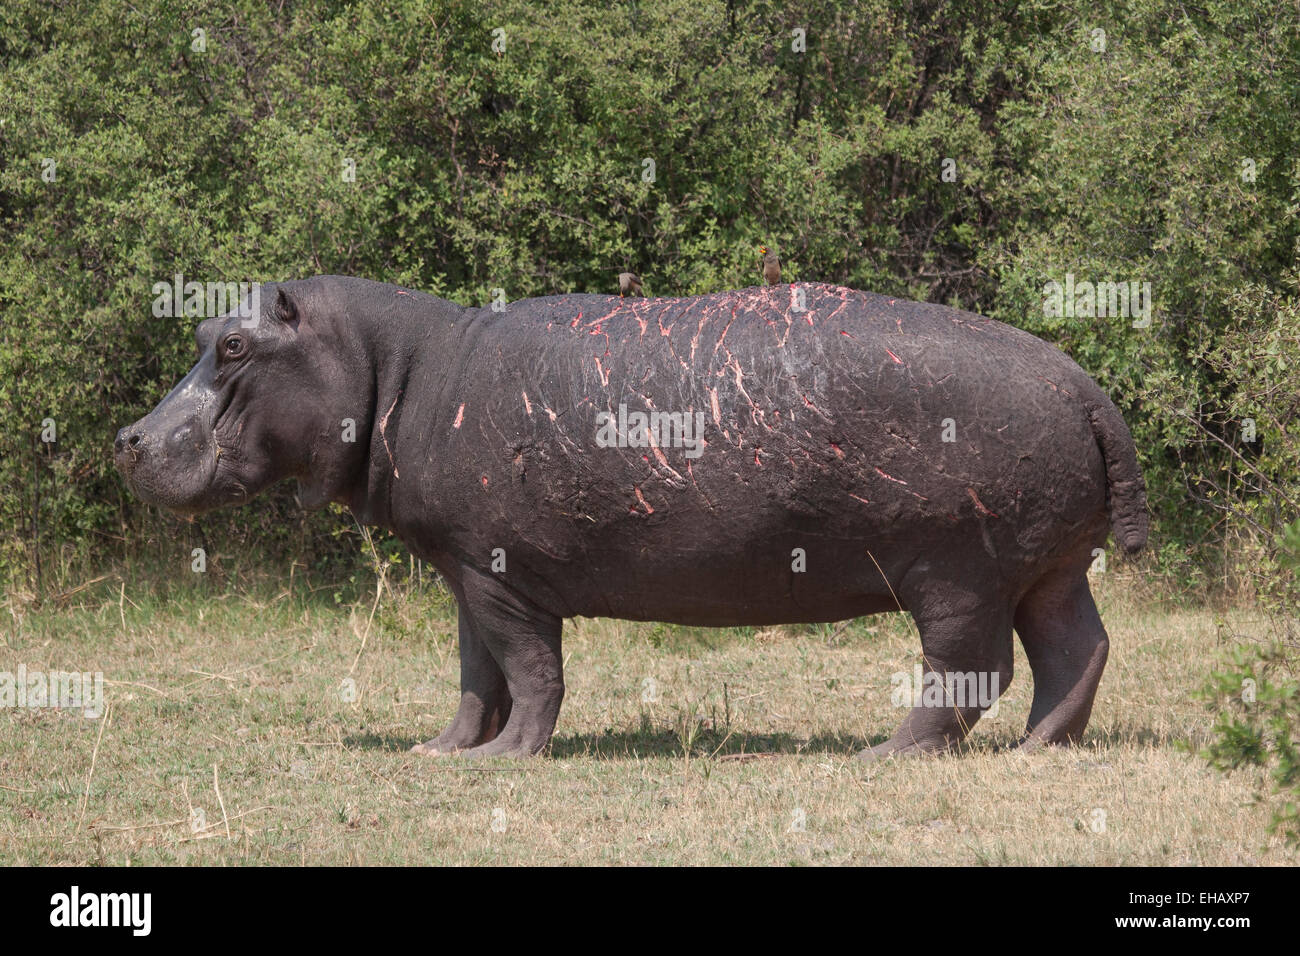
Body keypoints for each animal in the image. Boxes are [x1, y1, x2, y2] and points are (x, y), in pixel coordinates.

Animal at [115, 276, 1147, 759]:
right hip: (1045, 566)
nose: (128, 438)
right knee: (1076, 649)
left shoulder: (503, 579)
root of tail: (1082, 382)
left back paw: (880, 752)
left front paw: (508, 761)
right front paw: (443, 751)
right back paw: (1041, 750)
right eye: (203, 331)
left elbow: (532, 673)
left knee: (971, 668)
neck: (391, 368)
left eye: (234, 345)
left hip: (955, 573)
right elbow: (475, 676)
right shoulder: (468, 572)